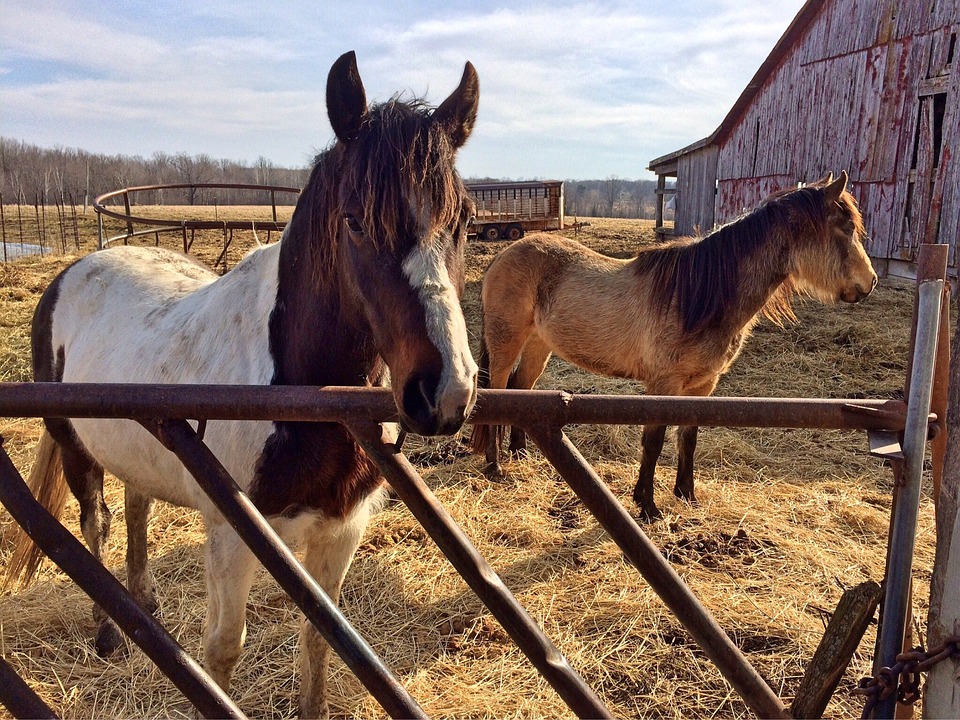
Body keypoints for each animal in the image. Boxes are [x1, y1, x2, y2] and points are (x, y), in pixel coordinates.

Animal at [6, 51, 479, 718]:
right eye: (356, 221)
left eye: (465, 221)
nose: (445, 393)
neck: (298, 396)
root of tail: (73, 272)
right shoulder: (234, 536)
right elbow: (223, 651)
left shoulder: (342, 529)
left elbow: (320, 641)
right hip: (76, 449)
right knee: (95, 522)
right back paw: (108, 632)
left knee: (136, 503)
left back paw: (142, 605)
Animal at [470, 172, 877, 521]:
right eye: (845, 228)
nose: (869, 282)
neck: (696, 297)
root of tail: (503, 257)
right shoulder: (663, 385)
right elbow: (654, 441)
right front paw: (647, 506)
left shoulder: (702, 386)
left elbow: (689, 437)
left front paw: (686, 495)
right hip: (506, 343)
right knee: (496, 393)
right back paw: (495, 465)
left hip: (539, 345)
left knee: (522, 389)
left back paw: (520, 453)